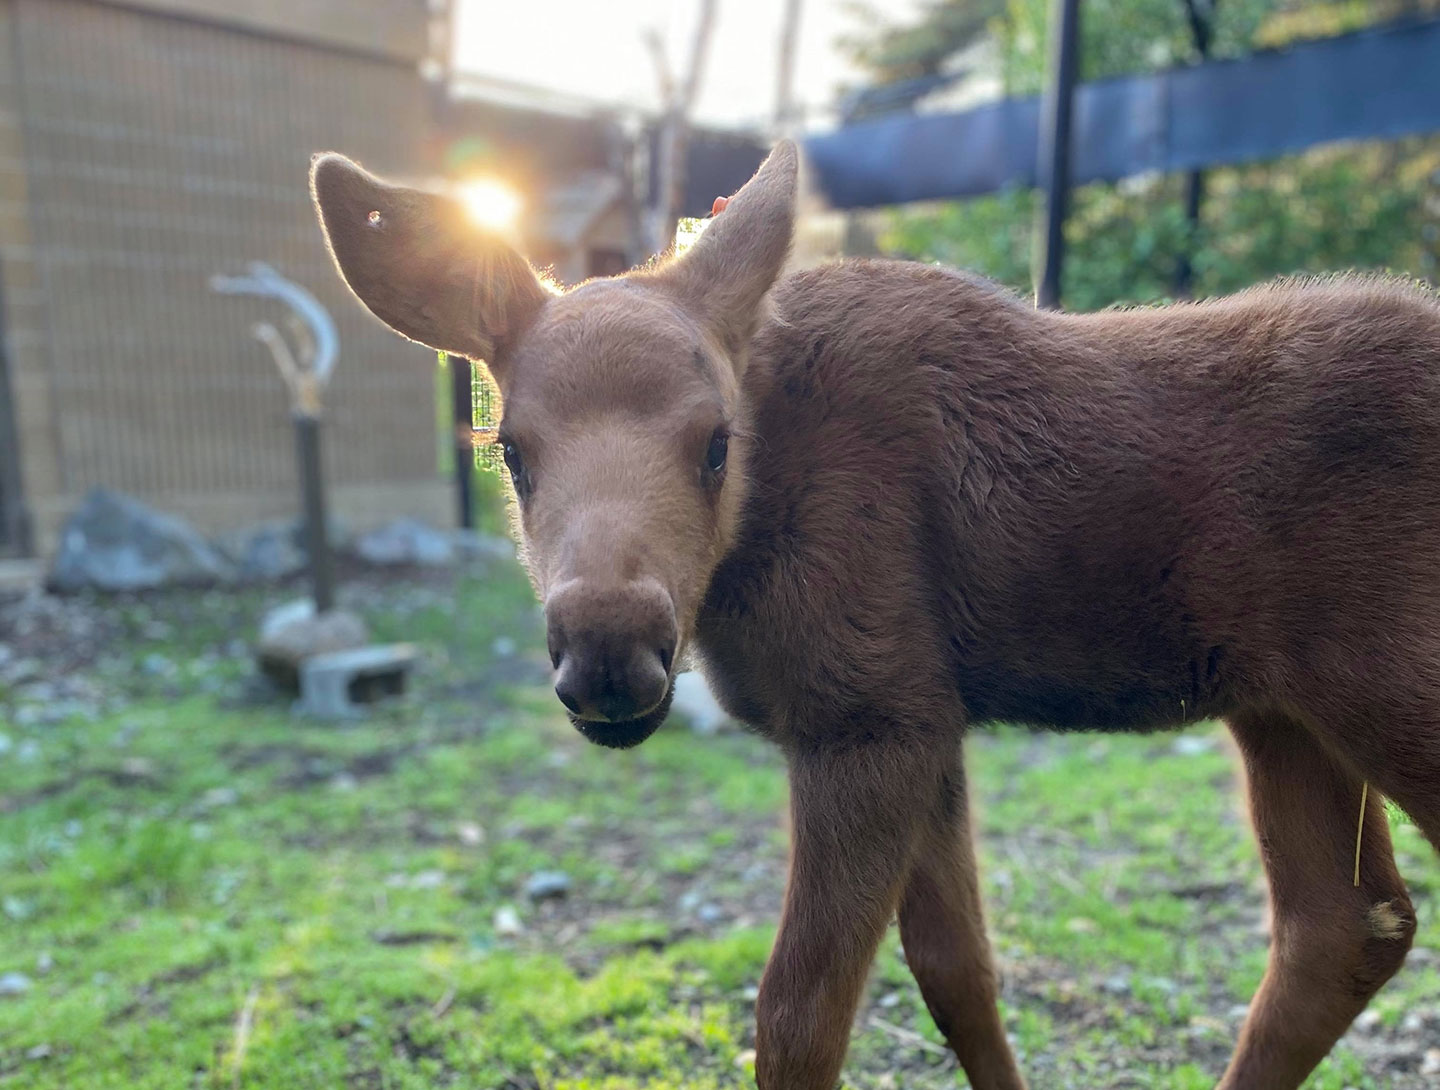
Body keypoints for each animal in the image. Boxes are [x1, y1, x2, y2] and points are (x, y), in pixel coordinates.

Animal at [311, 140, 1440, 1090]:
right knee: (1345, 926)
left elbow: (798, 1018)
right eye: (511, 449)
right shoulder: (924, 716)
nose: (608, 653)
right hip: (1284, 709)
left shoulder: (866, 720)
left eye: (715, 442)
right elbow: (956, 967)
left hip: (1383, 688)